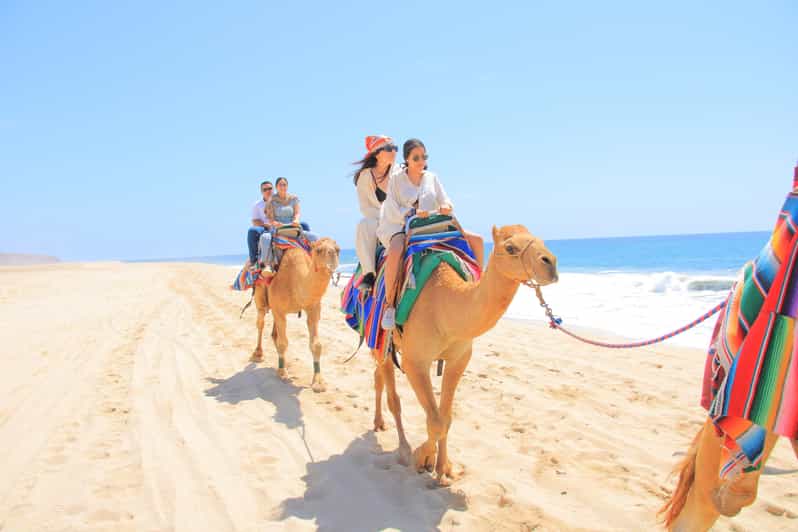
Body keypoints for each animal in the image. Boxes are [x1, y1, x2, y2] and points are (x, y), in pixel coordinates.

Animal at [251, 236, 340, 392]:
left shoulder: (313, 308)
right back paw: (258, 354)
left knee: (274, 333)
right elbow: (283, 342)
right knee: (261, 322)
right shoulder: (279, 310)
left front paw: (318, 382)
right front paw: (282, 372)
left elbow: (316, 345)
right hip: (261, 295)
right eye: (318, 249)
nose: (333, 256)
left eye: (338, 249)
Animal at [373, 224, 558, 481]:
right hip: (381, 340)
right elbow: (435, 421)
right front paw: (421, 457)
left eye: (539, 239)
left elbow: (445, 418)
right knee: (392, 395)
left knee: (378, 378)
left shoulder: (459, 359)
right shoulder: (415, 361)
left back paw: (379, 423)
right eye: (510, 247)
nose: (551, 263)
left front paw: (444, 467)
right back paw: (403, 449)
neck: (444, 304)